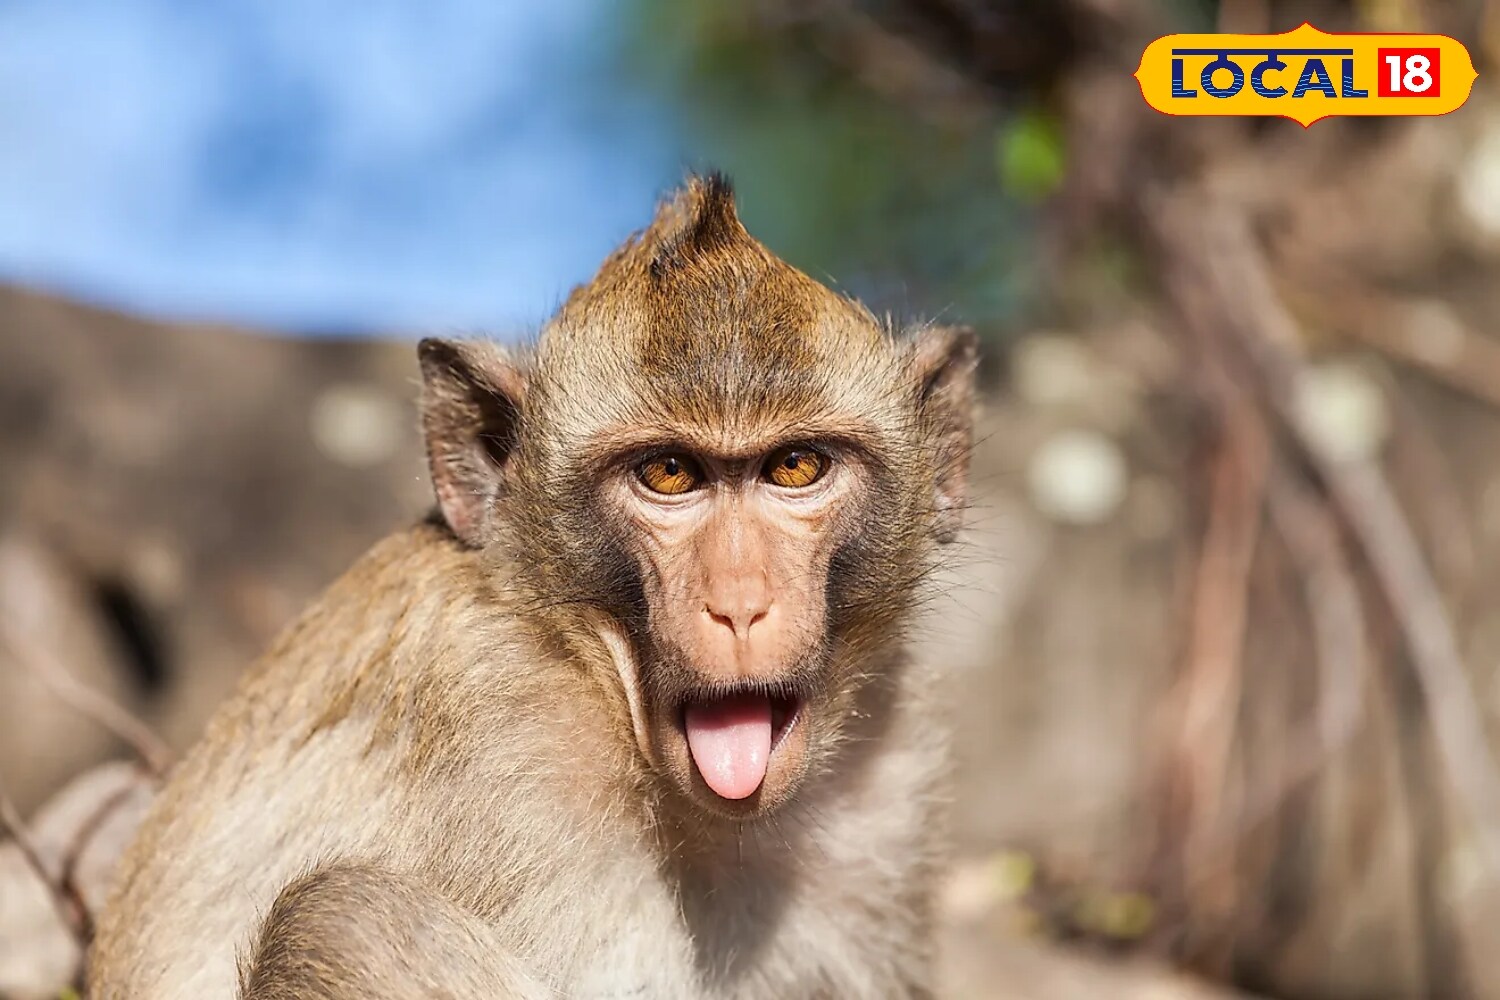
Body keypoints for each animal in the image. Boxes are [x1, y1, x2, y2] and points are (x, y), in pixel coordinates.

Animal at [87, 173, 978, 999]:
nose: (738, 603)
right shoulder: (509, 742)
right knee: (346, 917)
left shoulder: (883, 788)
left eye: (795, 467)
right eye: (669, 473)